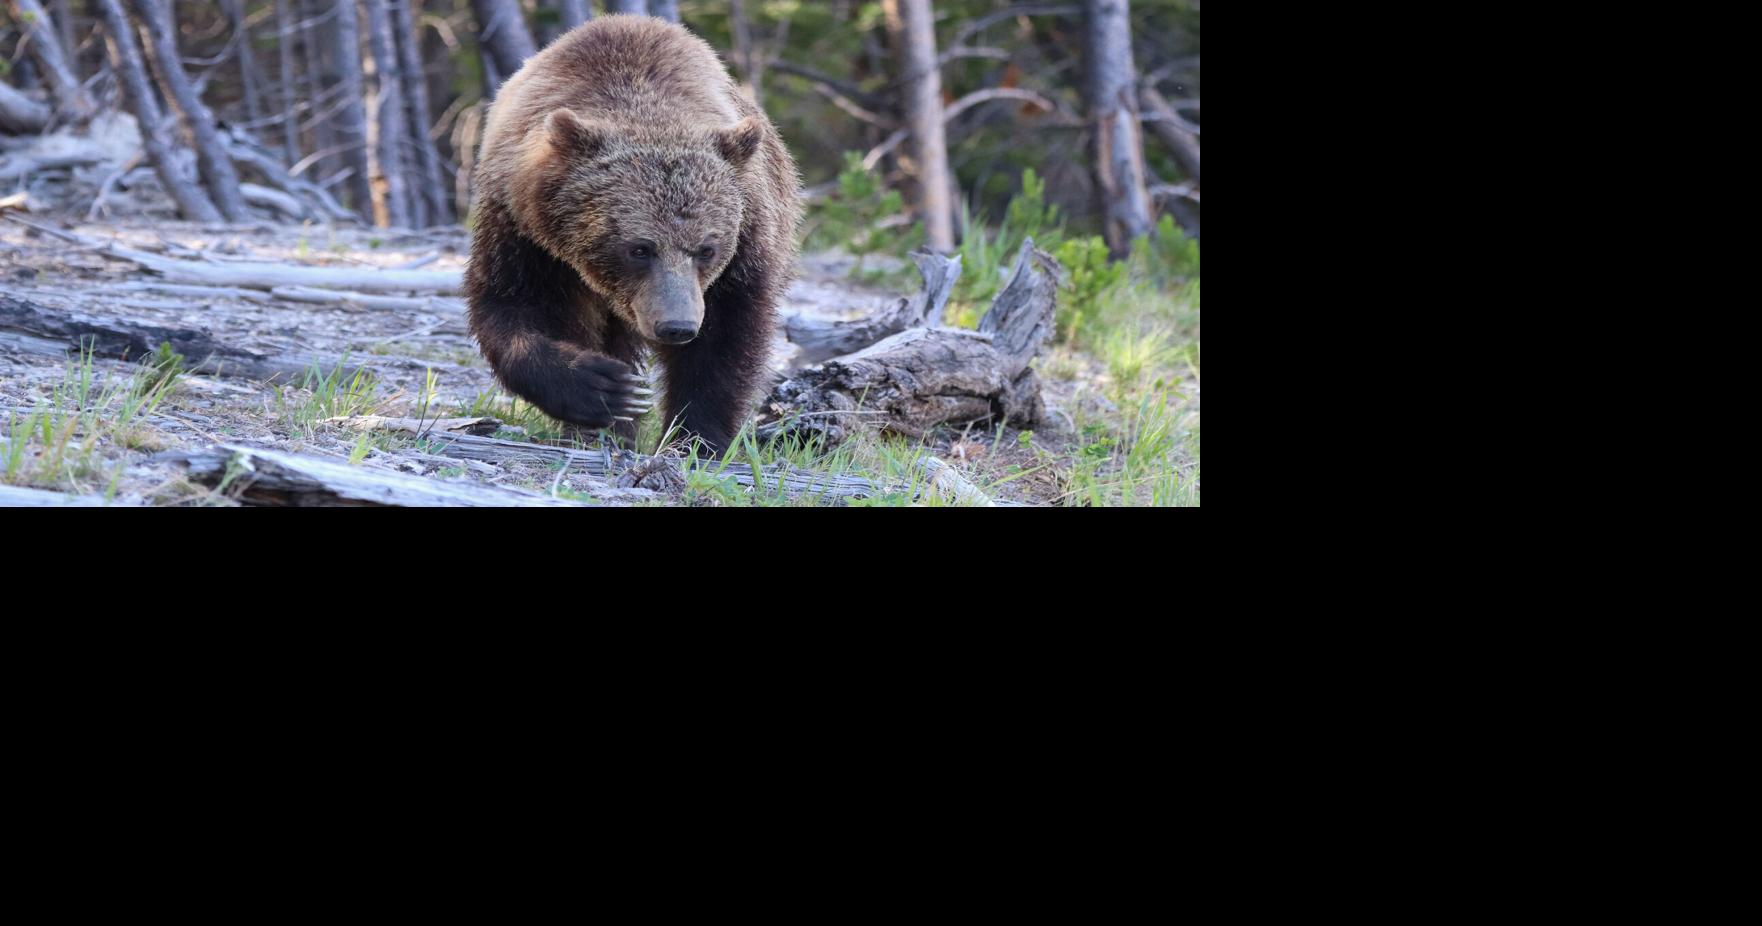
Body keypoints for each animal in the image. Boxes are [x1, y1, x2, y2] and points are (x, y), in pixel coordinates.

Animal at [465, 16, 801, 453]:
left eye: (706, 249)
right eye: (640, 249)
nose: (677, 326)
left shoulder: (747, 240)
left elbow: (725, 339)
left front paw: (696, 437)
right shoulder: (524, 232)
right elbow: (514, 306)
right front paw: (605, 389)